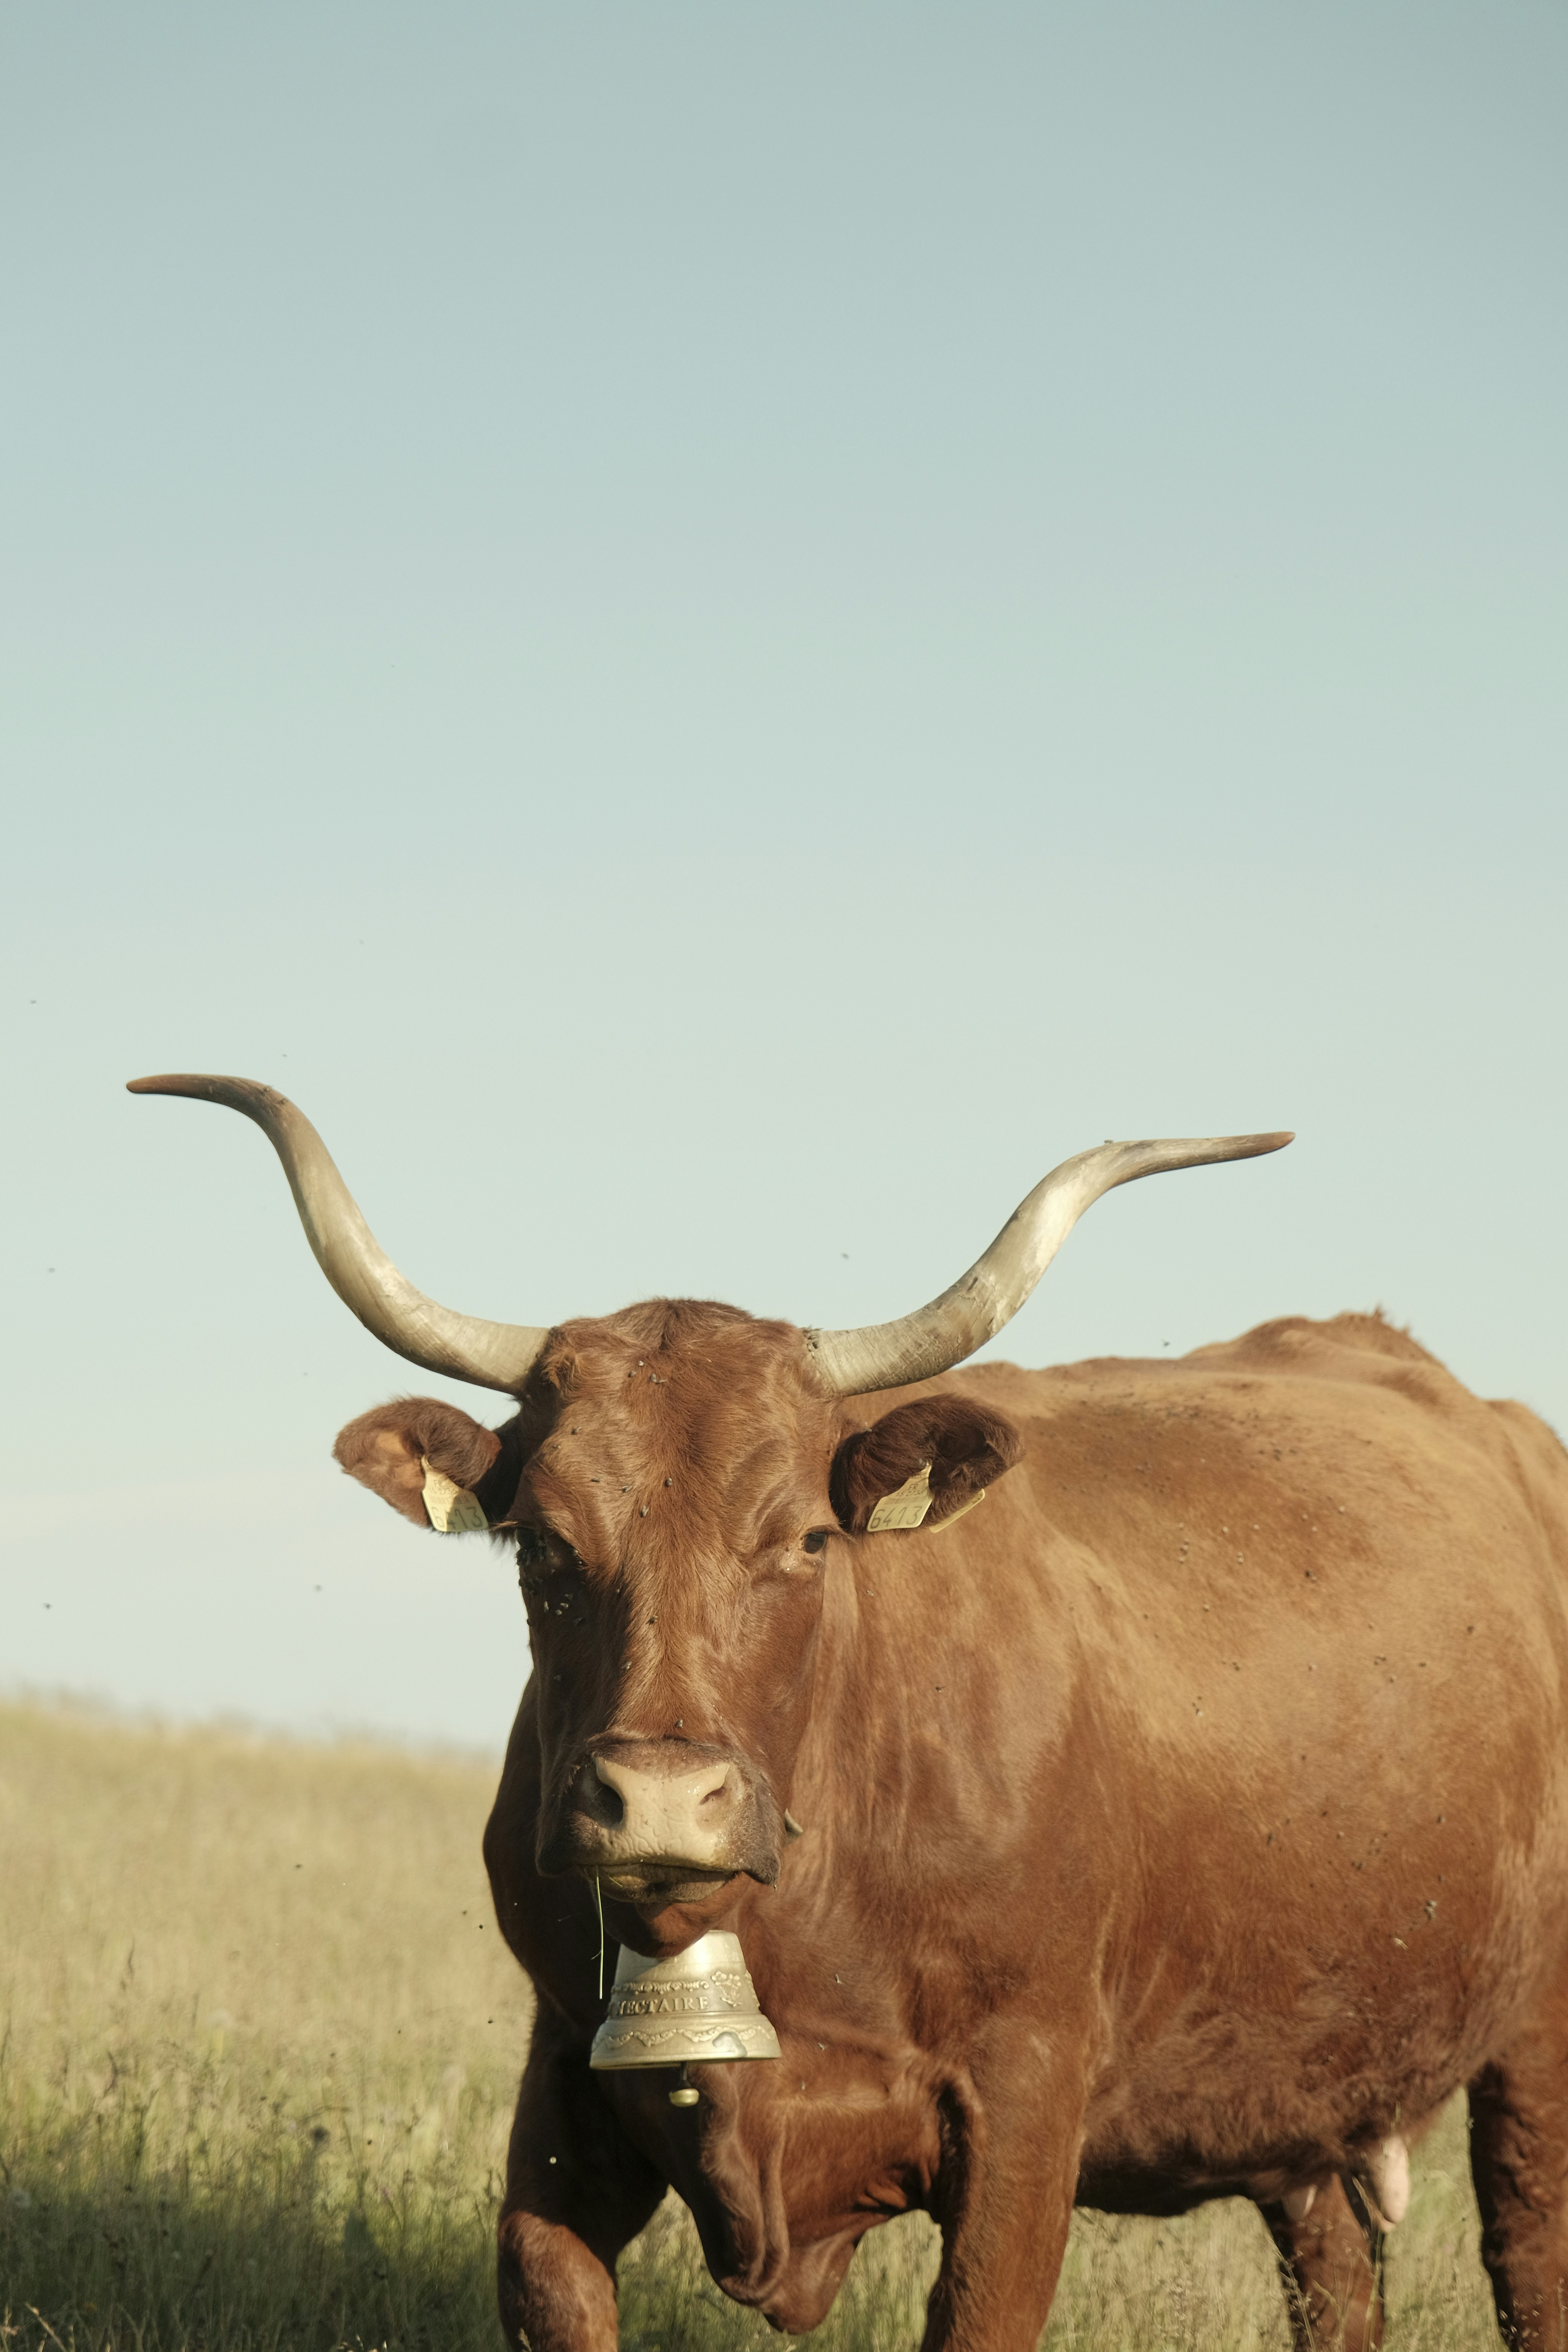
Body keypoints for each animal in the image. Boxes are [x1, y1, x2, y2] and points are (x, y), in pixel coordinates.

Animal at [129, 1071, 1568, 2352]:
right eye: (539, 1543)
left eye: (809, 1539)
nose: (662, 1801)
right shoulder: (561, 2085)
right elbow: (551, 2289)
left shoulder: (1024, 2108)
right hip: (1308, 2090)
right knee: (1335, 2274)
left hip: (1534, 2047)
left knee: (1528, 2257)